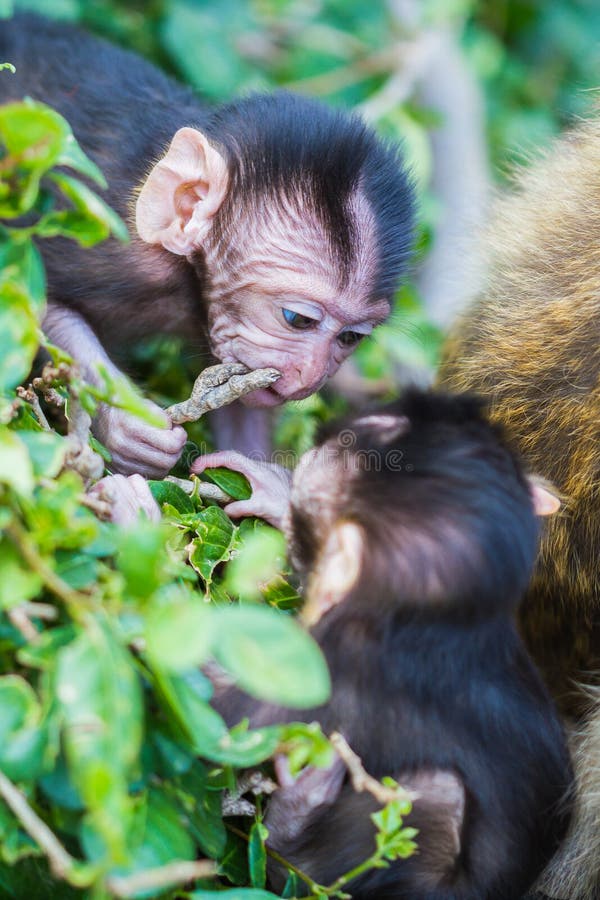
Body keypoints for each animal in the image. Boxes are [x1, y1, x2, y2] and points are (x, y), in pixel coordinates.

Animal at [0, 12, 414, 509]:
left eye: (350, 338)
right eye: (297, 319)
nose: (312, 375)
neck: (186, 279)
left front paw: (267, 485)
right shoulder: (114, 247)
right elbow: (35, 303)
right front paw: (128, 424)